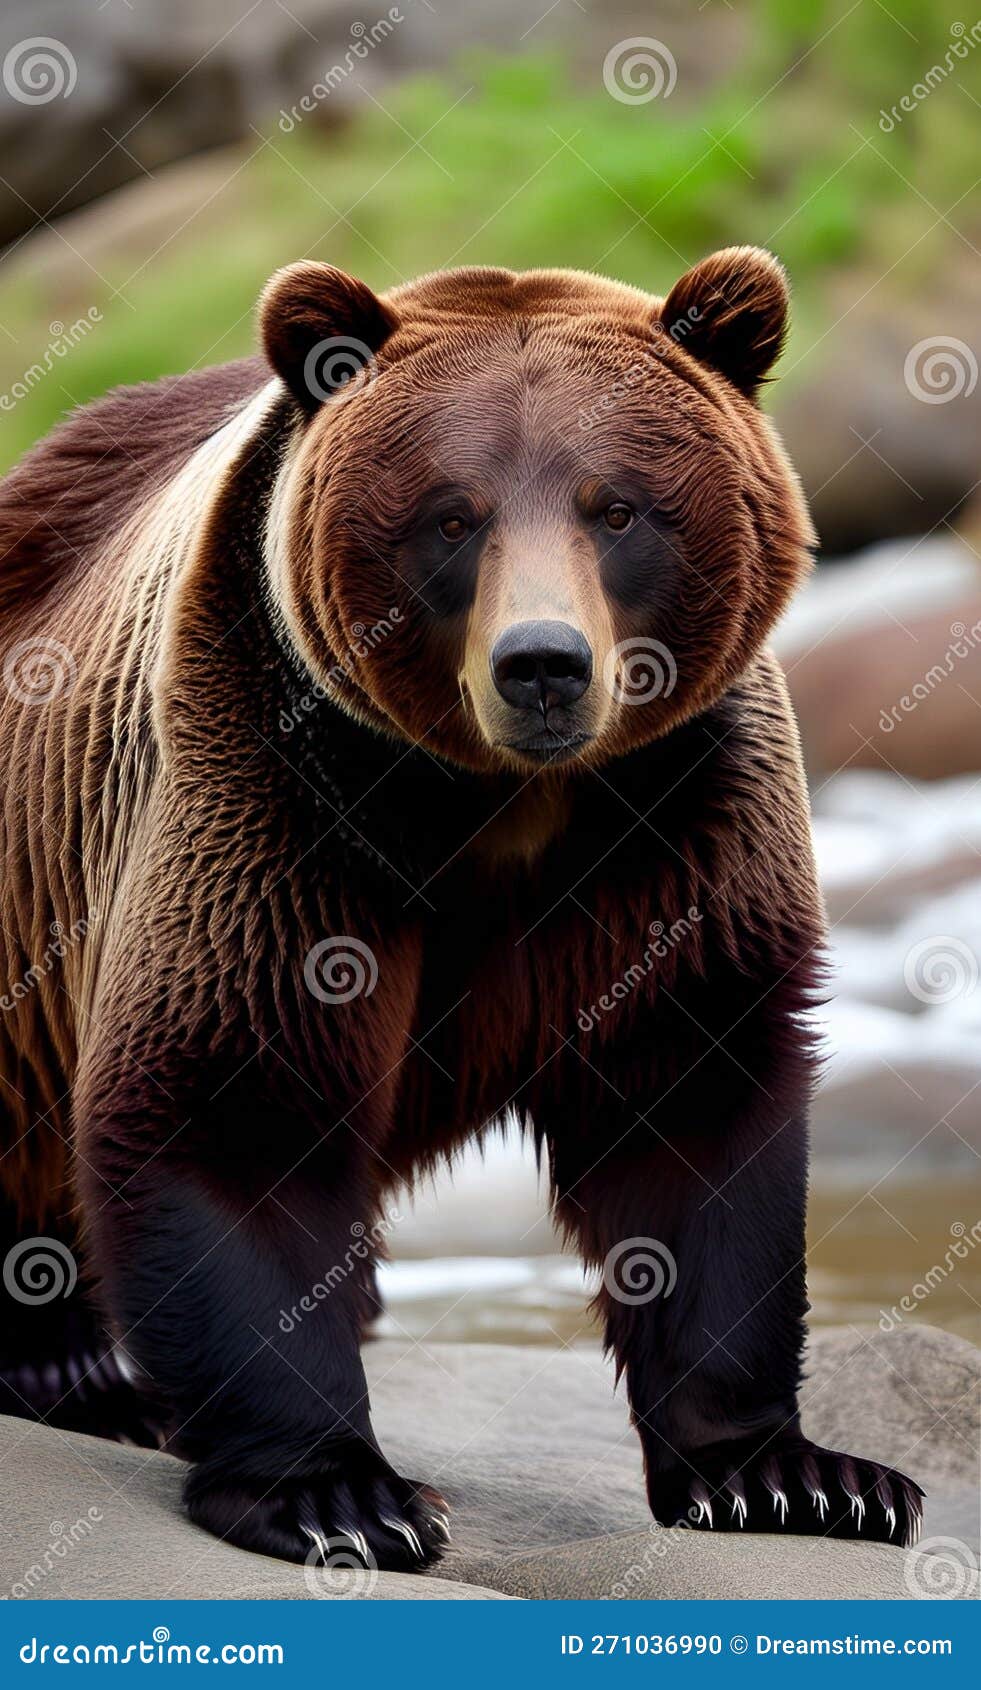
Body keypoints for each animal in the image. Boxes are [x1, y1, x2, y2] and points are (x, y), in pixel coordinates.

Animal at [0, 248, 923, 1569]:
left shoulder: (679, 816)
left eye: (618, 506)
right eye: (451, 513)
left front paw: (794, 1476)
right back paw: (84, 1376)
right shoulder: (274, 787)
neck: (505, 800)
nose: (542, 664)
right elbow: (233, 1094)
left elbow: (698, 1105)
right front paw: (342, 1495)